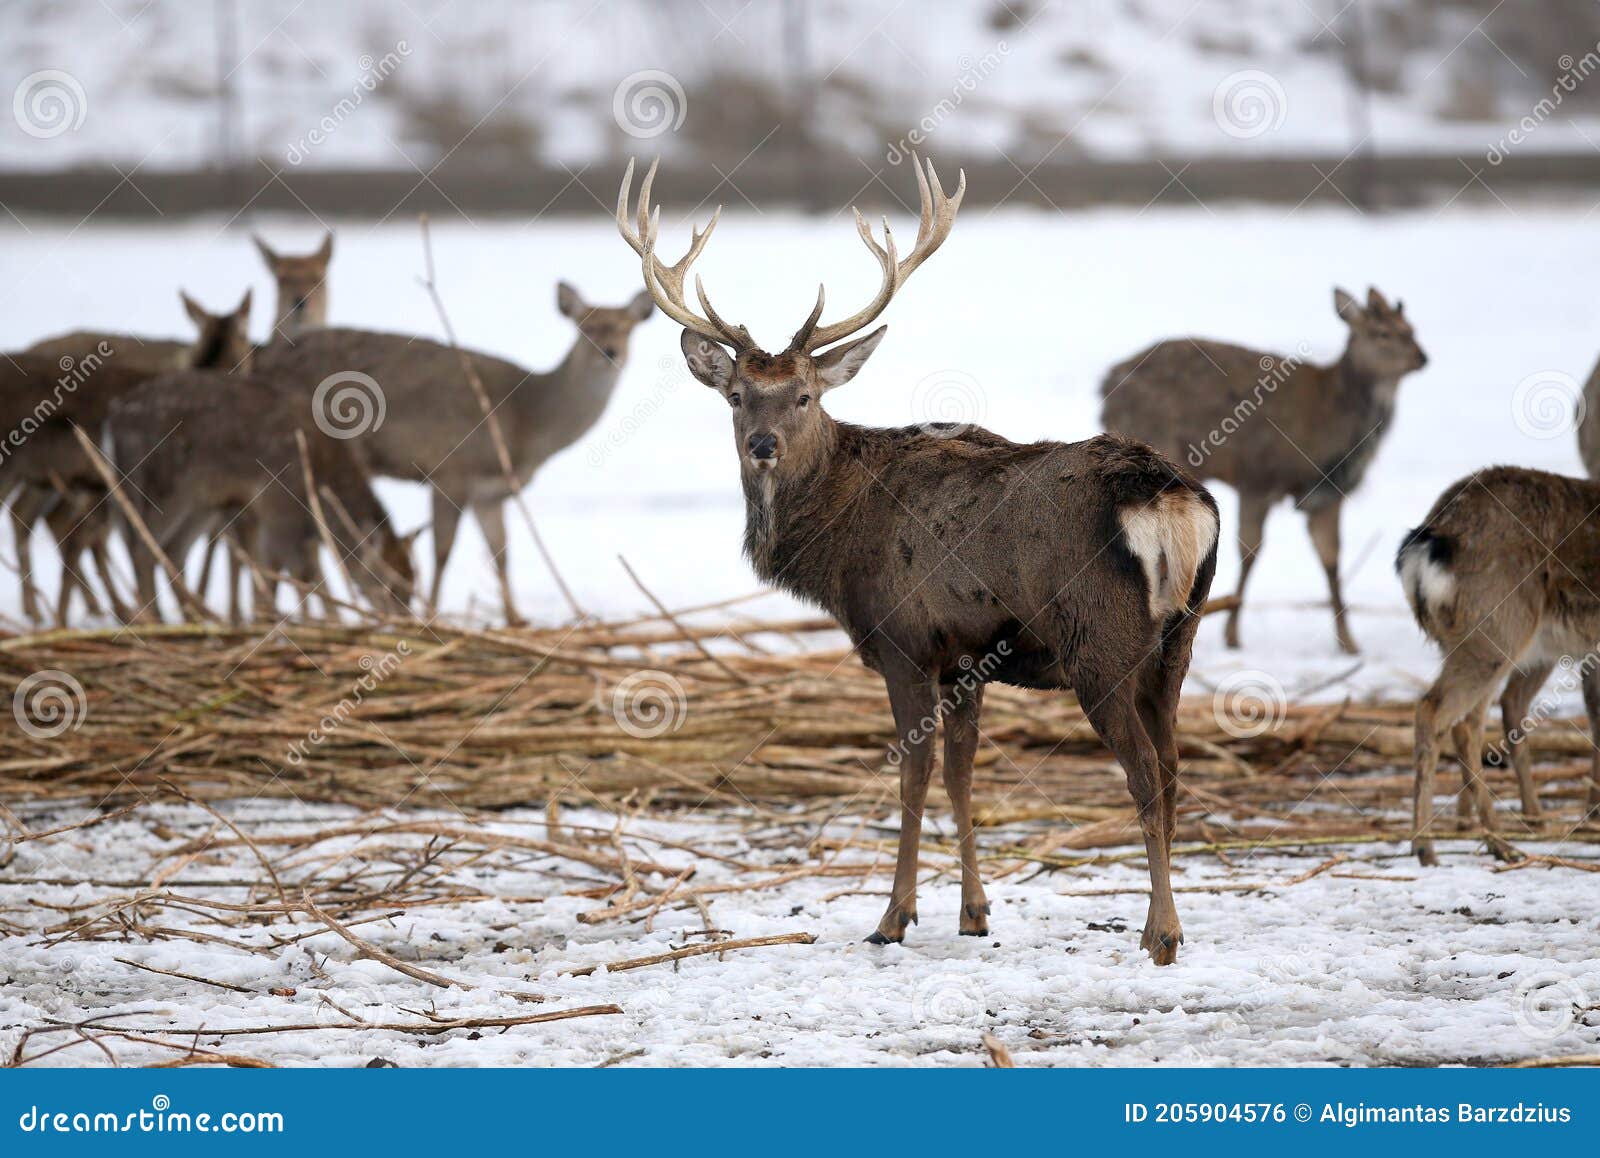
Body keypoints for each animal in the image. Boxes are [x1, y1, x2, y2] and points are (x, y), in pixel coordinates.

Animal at [252, 284, 653, 623]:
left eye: (627, 327)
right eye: (585, 327)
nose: (610, 352)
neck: (526, 425)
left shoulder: (490, 493)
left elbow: (501, 552)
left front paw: (515, 618)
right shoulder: (450, 472)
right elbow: (442, 552)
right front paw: (431, 612)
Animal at [616, 157, 1219, 964]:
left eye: (804, 395)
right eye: (737, 395)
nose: (762, 445)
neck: (838, 542)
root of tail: (1173, 499)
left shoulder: (903, 640)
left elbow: (912, 779)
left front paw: (892, 916)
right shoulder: (966, 659)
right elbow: (963, 778)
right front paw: (974, 911)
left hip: (1103, 644)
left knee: (1147, 773)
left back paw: (1162, 932)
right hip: (1178, 639)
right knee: (1176, 766)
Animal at [1102, 288, 1427, 655]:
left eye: (1411, 328)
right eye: (1381, 333)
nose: (1422, 357)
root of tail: (1106, 386)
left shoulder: (1325, 494)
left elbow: (1331, 559)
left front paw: (1349, 643)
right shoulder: (1257, 476)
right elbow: (1250, 552)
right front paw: (1232, 634)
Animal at [1398, 466, 1600, 866]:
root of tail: (1430, 539)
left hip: (1480, 643)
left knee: (1476, 718)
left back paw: (1500, 836)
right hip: (1497, 632)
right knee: (1441, 713)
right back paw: (1435, 846)